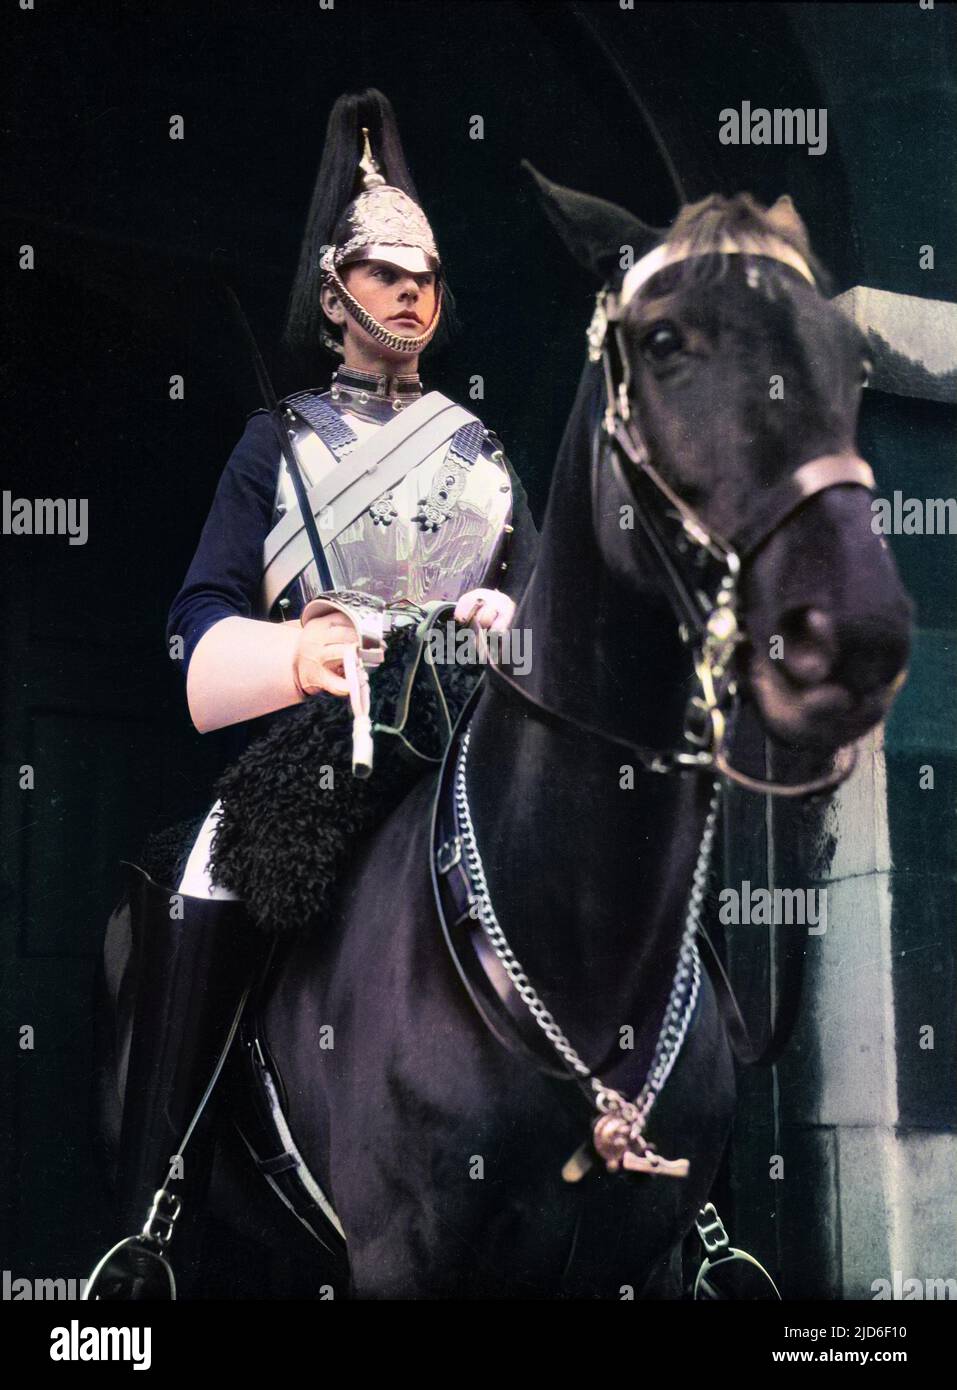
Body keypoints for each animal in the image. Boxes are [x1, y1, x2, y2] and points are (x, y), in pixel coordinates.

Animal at [106, 175, 914, 1299]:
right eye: (663, 339)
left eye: (853, 361)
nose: (855, 634)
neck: (575, 945)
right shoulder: (403, 1253)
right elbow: (206, 618)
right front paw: (340, 644)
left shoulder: (636, 1259)